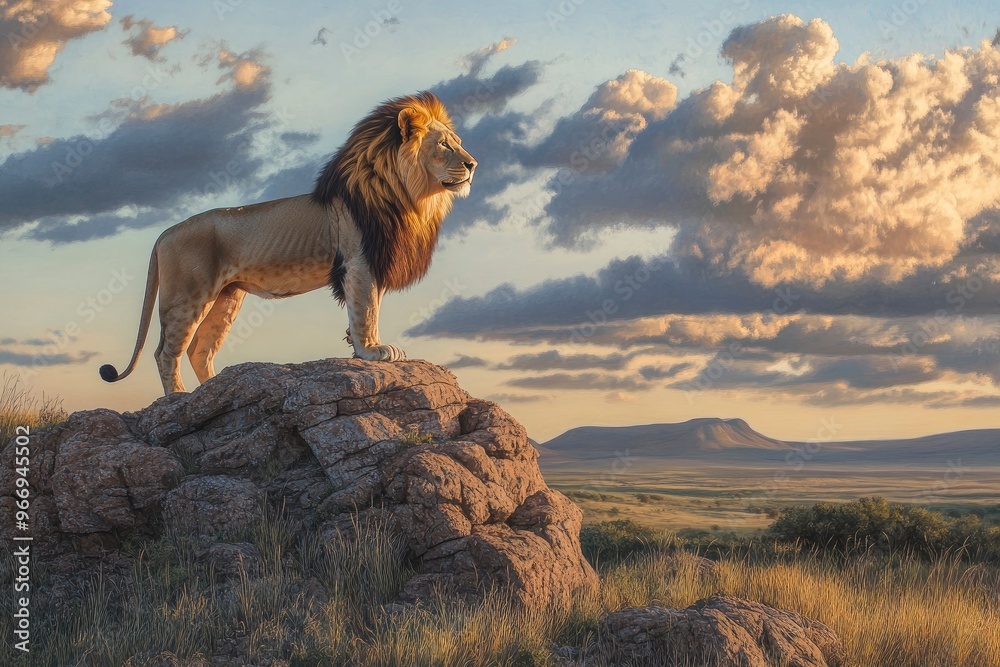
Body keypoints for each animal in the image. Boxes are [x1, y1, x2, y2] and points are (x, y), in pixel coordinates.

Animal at [99, 91, 477, 394]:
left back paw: (217, 390)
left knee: (199, 350)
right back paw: (179, 397)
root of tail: (164, 233)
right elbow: (365, 310)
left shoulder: (373, 261)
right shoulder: (359, 261)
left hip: (227, 297)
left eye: (457, 142)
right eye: (444, 145)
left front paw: (361, 350)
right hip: (188, 294)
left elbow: (370, 309)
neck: (411, 197)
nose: (473, 164)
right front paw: (374, 351)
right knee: (166, 352)